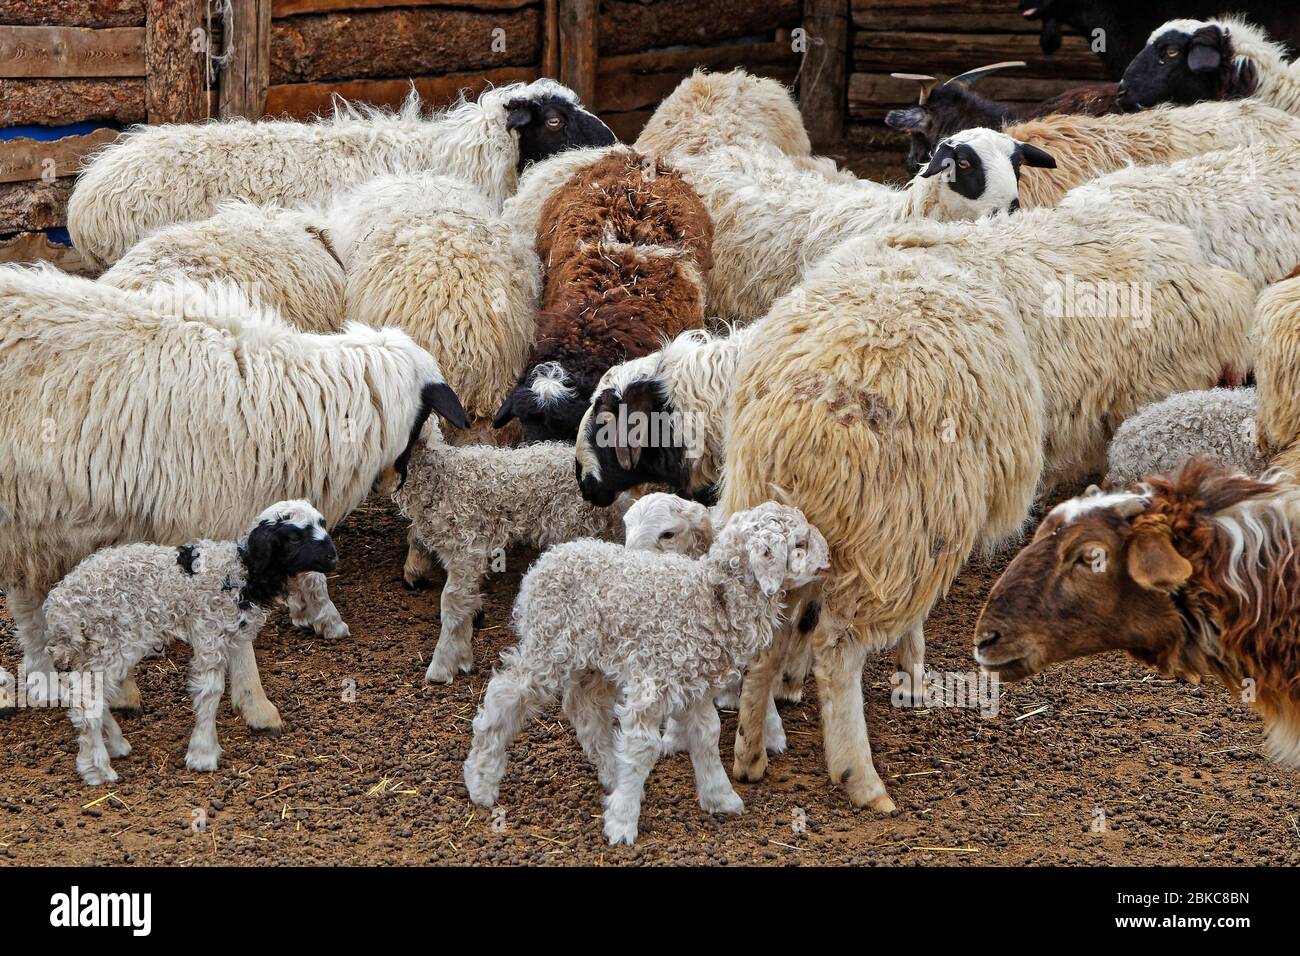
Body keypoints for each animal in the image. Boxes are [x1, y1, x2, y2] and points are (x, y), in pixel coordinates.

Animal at [44, 501, 337, 785]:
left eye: (322, 523)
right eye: (295, 537)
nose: (332, 557)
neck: (244, 571)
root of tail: (61, 604)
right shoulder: (209, 631)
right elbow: (210, 690)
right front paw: (203, 753)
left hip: (96, 647)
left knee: (86, 691)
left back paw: (116, 745)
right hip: (112, 642)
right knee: (86, 698)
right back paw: (97, 770)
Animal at [462, 502, 830, 846]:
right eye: (799, 542)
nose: (827, 559)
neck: (713, 597)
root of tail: (546, 561)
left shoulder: (695, 685)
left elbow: (707, 735)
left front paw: (720, 797)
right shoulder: (654, 684)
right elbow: (642, 747)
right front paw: (622, 823)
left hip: (593, 660)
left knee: (585, 708)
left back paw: (611, 772)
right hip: (548, 646)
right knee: (504, 694)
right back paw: (481, 781)